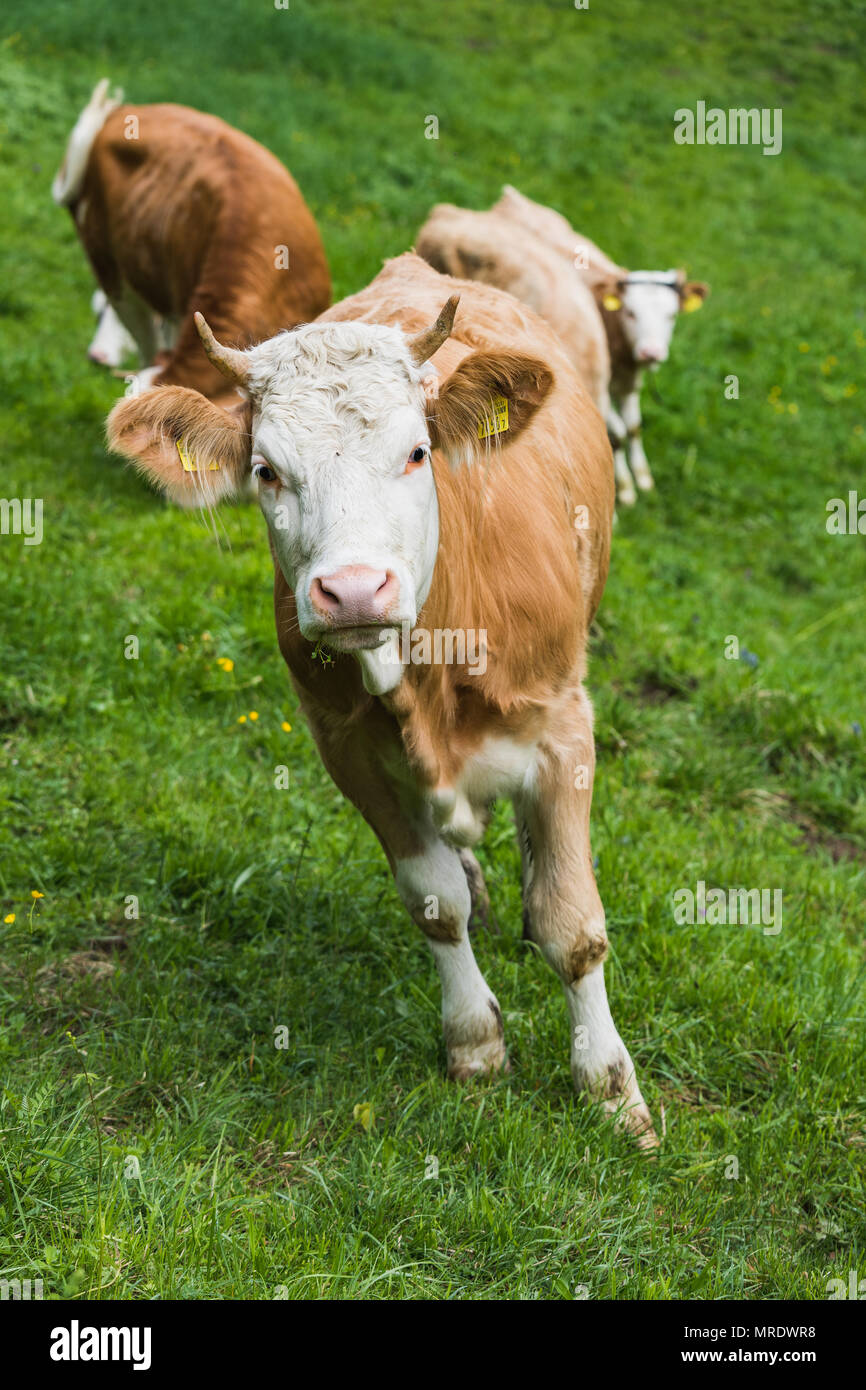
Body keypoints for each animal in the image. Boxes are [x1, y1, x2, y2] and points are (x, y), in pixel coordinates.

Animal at [106, 252, 657, 1149]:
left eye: (417, 451)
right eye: (266, 471)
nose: (356, 589)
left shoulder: (565, 732)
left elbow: (573, 927)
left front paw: (611, 1091)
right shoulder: (347, 749)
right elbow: (434, 903)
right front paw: (474, 1044)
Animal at [492, 186, 709, 504]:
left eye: (672, 315)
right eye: (630, 312)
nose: (651, 352)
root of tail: (508, 196)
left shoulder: (628, 381)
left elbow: (633, 426)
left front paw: (643, 478)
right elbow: (615, 433)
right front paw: (626, 488)